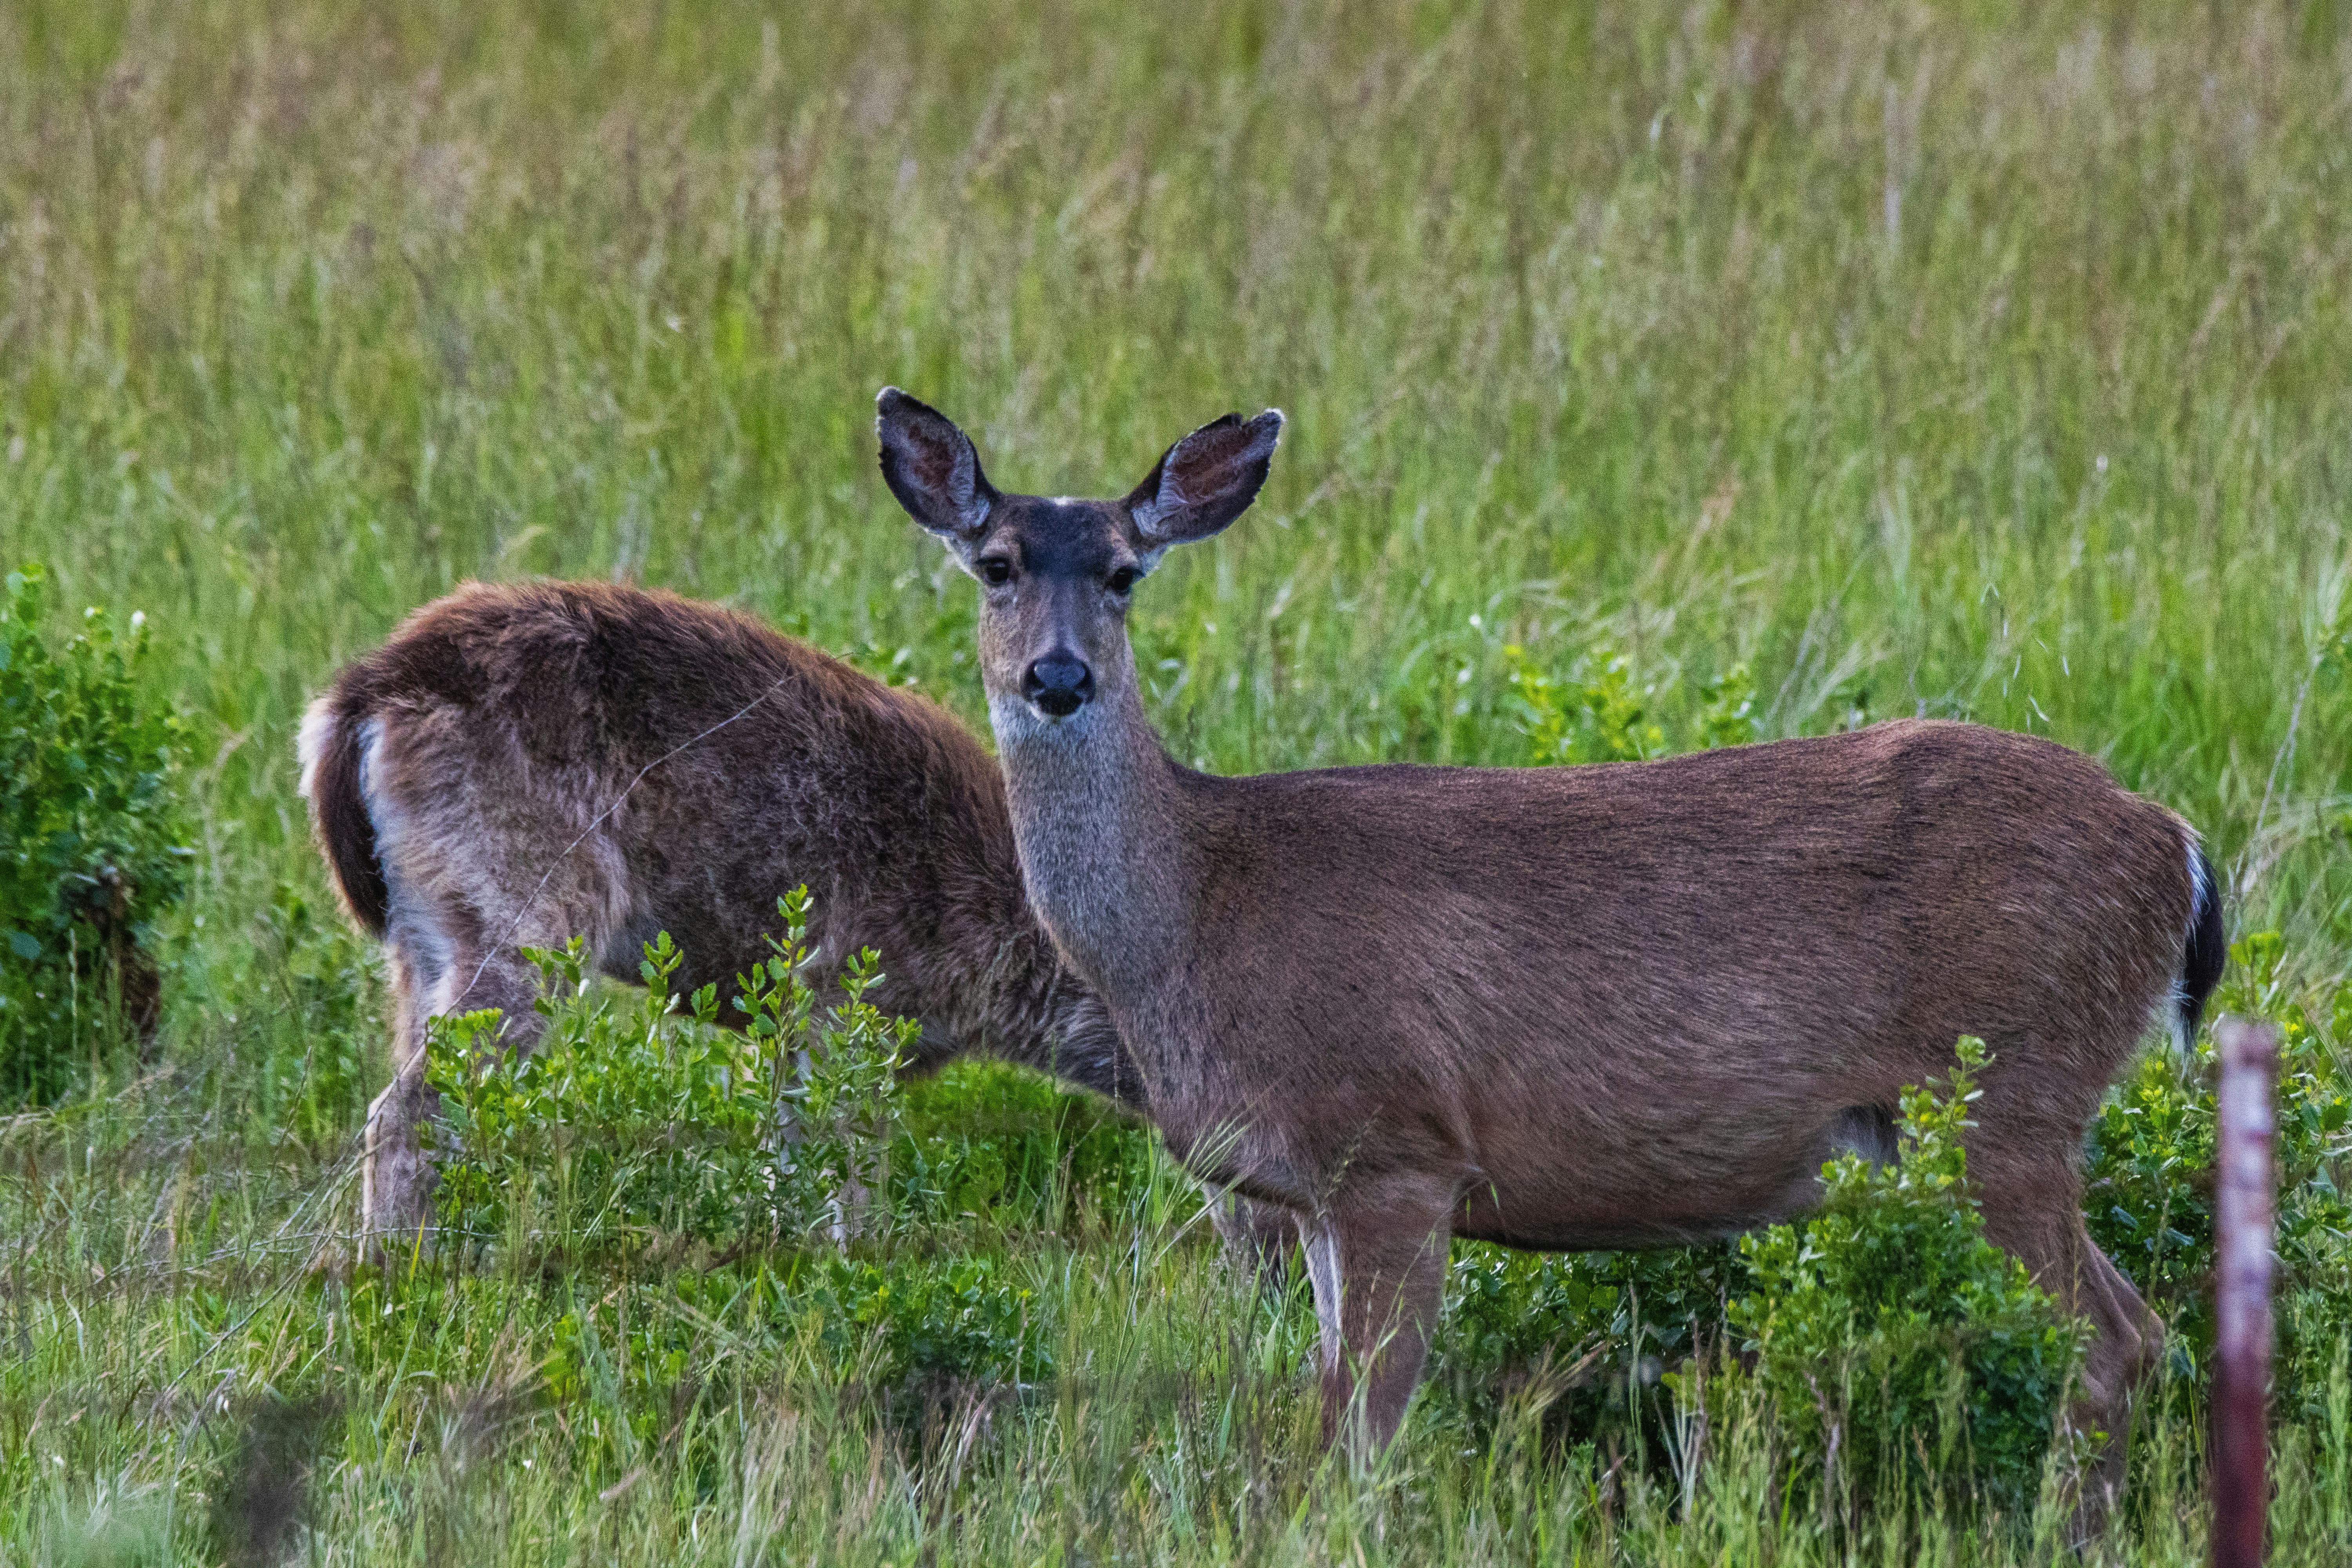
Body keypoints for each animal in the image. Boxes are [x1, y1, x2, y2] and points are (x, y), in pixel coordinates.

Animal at [297, 578, 1294, 1267]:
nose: (1282, 1284)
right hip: (526, 915)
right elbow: (839, 1198)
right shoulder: (842, 1006)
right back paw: (405, 1283)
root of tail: (360, 696)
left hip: (425, 936)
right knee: (408, 1110)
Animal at [875, 387, 2228, 1501]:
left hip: (2009, 1089)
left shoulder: (1398, 1146)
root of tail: (2174, 843)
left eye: (1123, 571)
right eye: (995, 565)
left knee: (2113, 1338)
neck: (1201, 912)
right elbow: (1331, 1401)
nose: (1057, 678)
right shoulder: (1312, 1190)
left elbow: (1360, 1424)